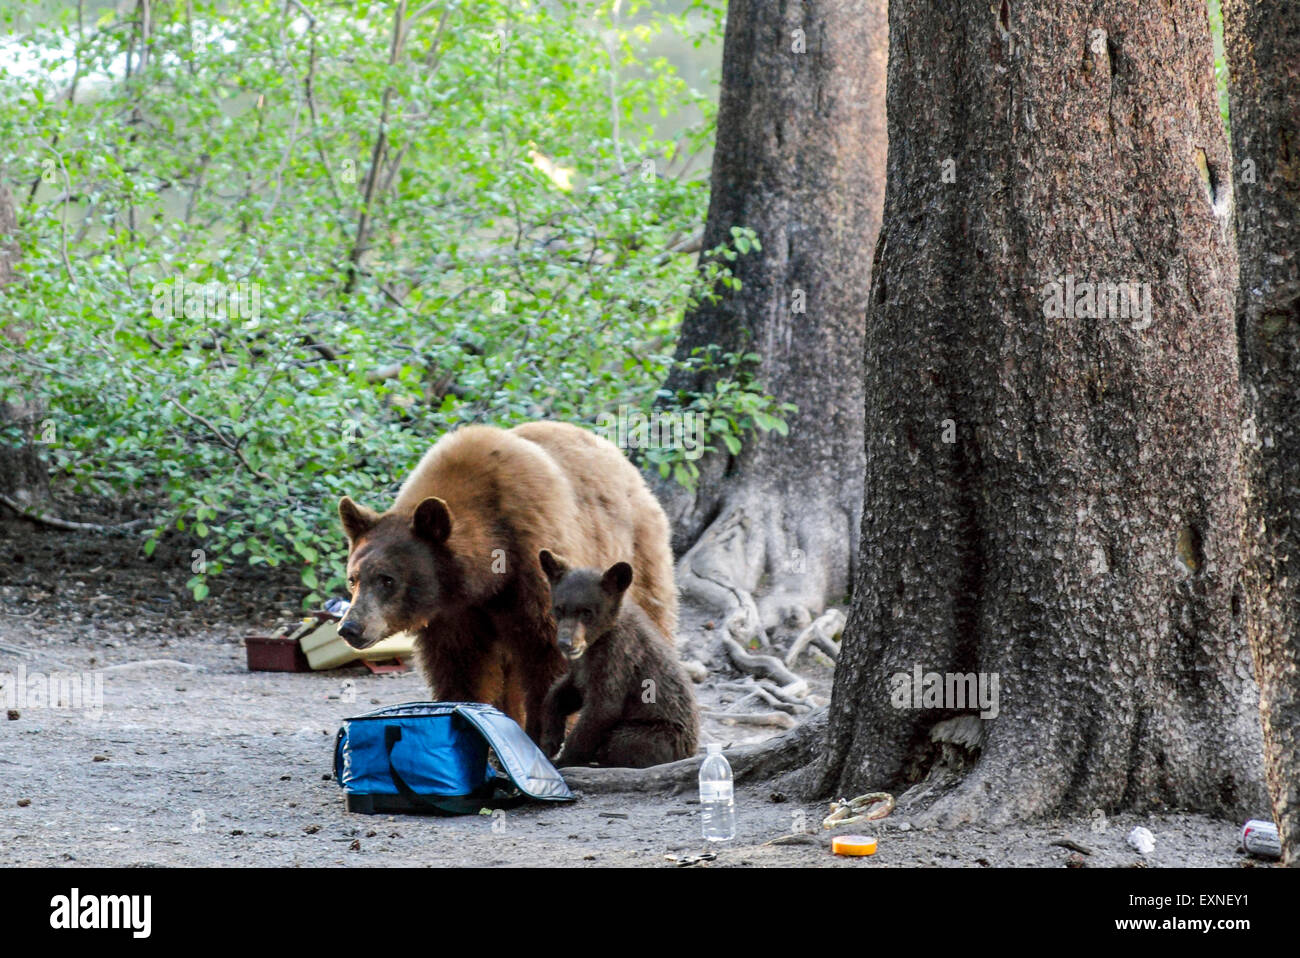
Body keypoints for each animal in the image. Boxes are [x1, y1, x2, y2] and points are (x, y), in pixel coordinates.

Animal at [335, 421, 677, 745]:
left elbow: (546, 659)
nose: (350, 627)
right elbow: (460, 666)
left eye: (387, 580)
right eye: (353, 579)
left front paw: (541, 734)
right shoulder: (453, 614)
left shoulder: (535, 572)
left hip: (633, 554)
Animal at [537, 549, 699, 768]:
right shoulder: (581, 666)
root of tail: (691, 751)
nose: (565, 643)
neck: (595, 642)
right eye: (559, 608)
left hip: (662, 734)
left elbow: (603, 709)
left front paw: (563, 759)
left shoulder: (618, 658)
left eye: (587, 612)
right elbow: (565, 690)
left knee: (621, 741)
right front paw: (549, 739)